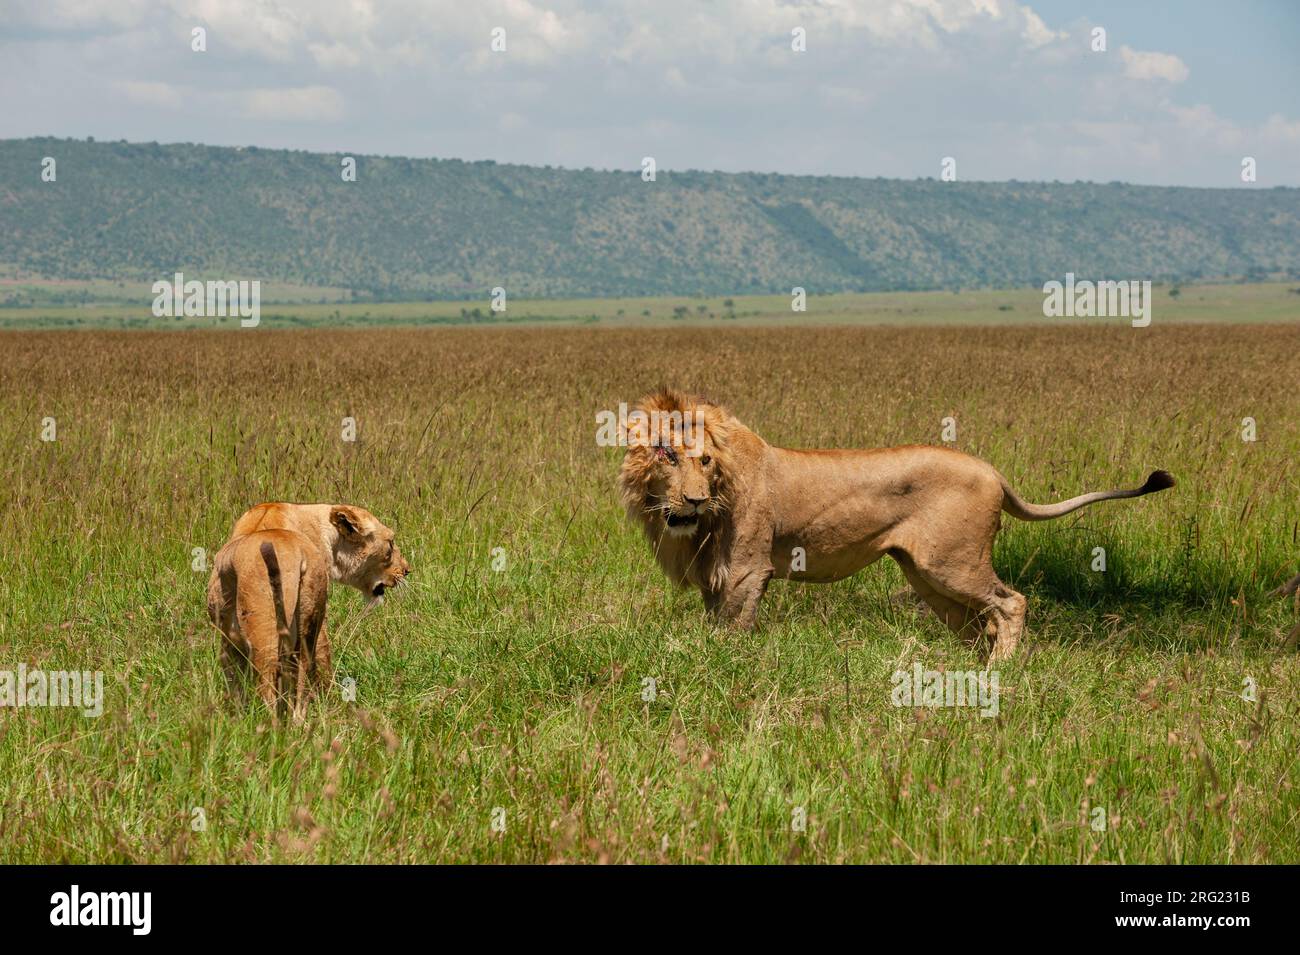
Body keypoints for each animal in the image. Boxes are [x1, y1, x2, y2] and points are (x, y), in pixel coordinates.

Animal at [618, 389, 1175, 662]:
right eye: (668, 456)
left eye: (705, 460)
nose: (694, 500)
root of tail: (992, 470)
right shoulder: (714, 576)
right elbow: (715, 624)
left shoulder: (747, 568)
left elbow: (735, 627)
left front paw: (730, 662)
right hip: (927, 576)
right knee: (981, 621)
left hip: (951, 563)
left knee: (1011, 602)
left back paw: (1000, 671)